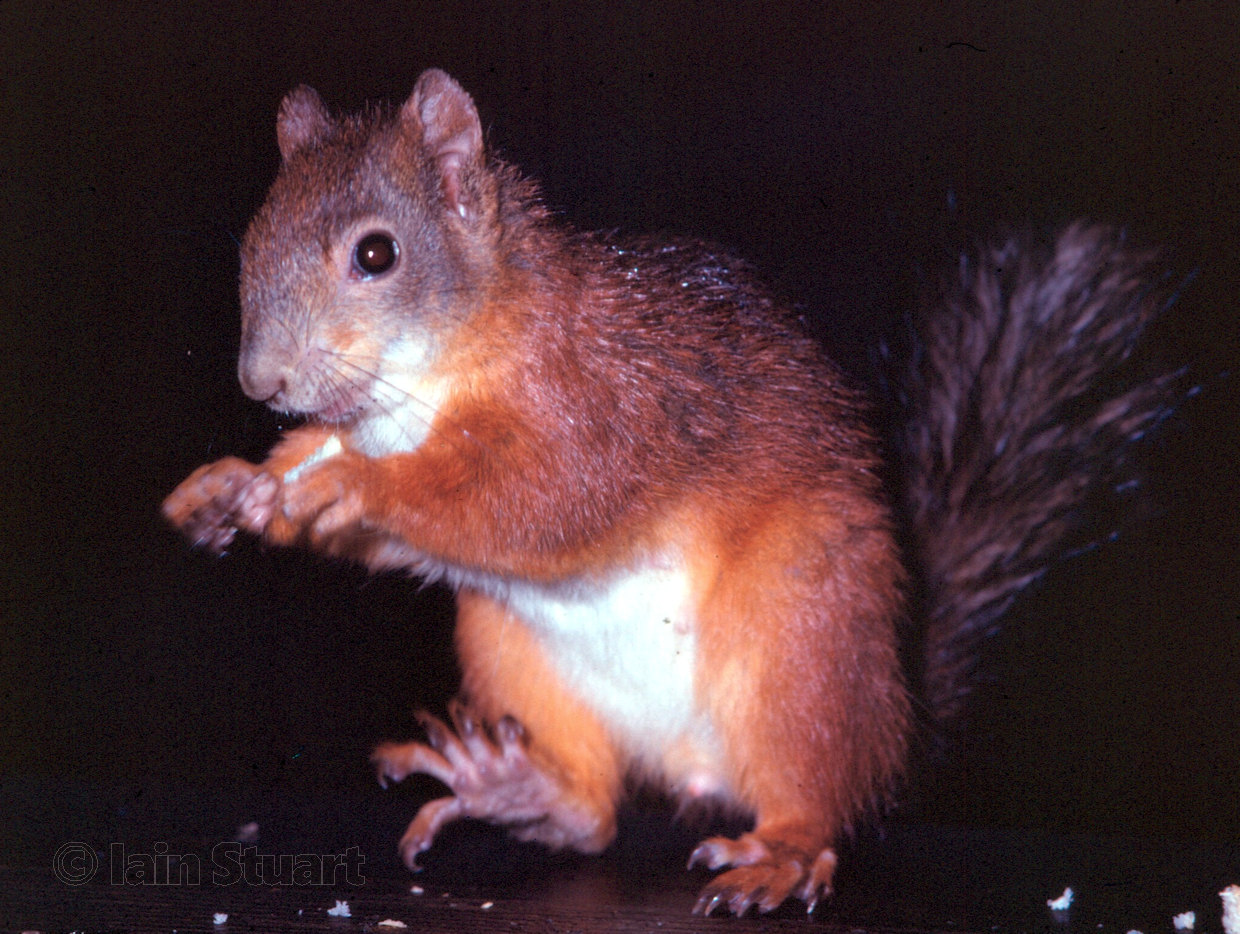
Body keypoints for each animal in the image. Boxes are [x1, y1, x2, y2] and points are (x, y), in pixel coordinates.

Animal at [162, 69, 1180, 915]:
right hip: (505, 643)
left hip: (803, 640)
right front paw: (230, 488)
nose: (261, 381)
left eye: (376, 255)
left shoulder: (607, 408)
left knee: (817, 798)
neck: (429, 383)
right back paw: (516, 788)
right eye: (255, 237)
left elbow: (537, 499)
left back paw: (781, 855)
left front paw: (349, 485)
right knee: (595, 815)